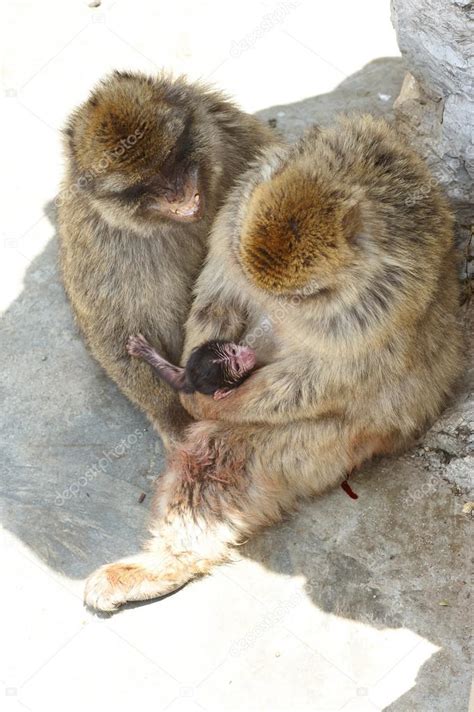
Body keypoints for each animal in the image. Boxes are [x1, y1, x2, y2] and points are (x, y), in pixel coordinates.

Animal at [126, 333, 257, 399]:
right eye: (237, 366)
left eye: (233, 351)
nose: (248, 355)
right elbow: (179, 380)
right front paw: (142, 350)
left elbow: (178, 378)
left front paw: (142, 349)